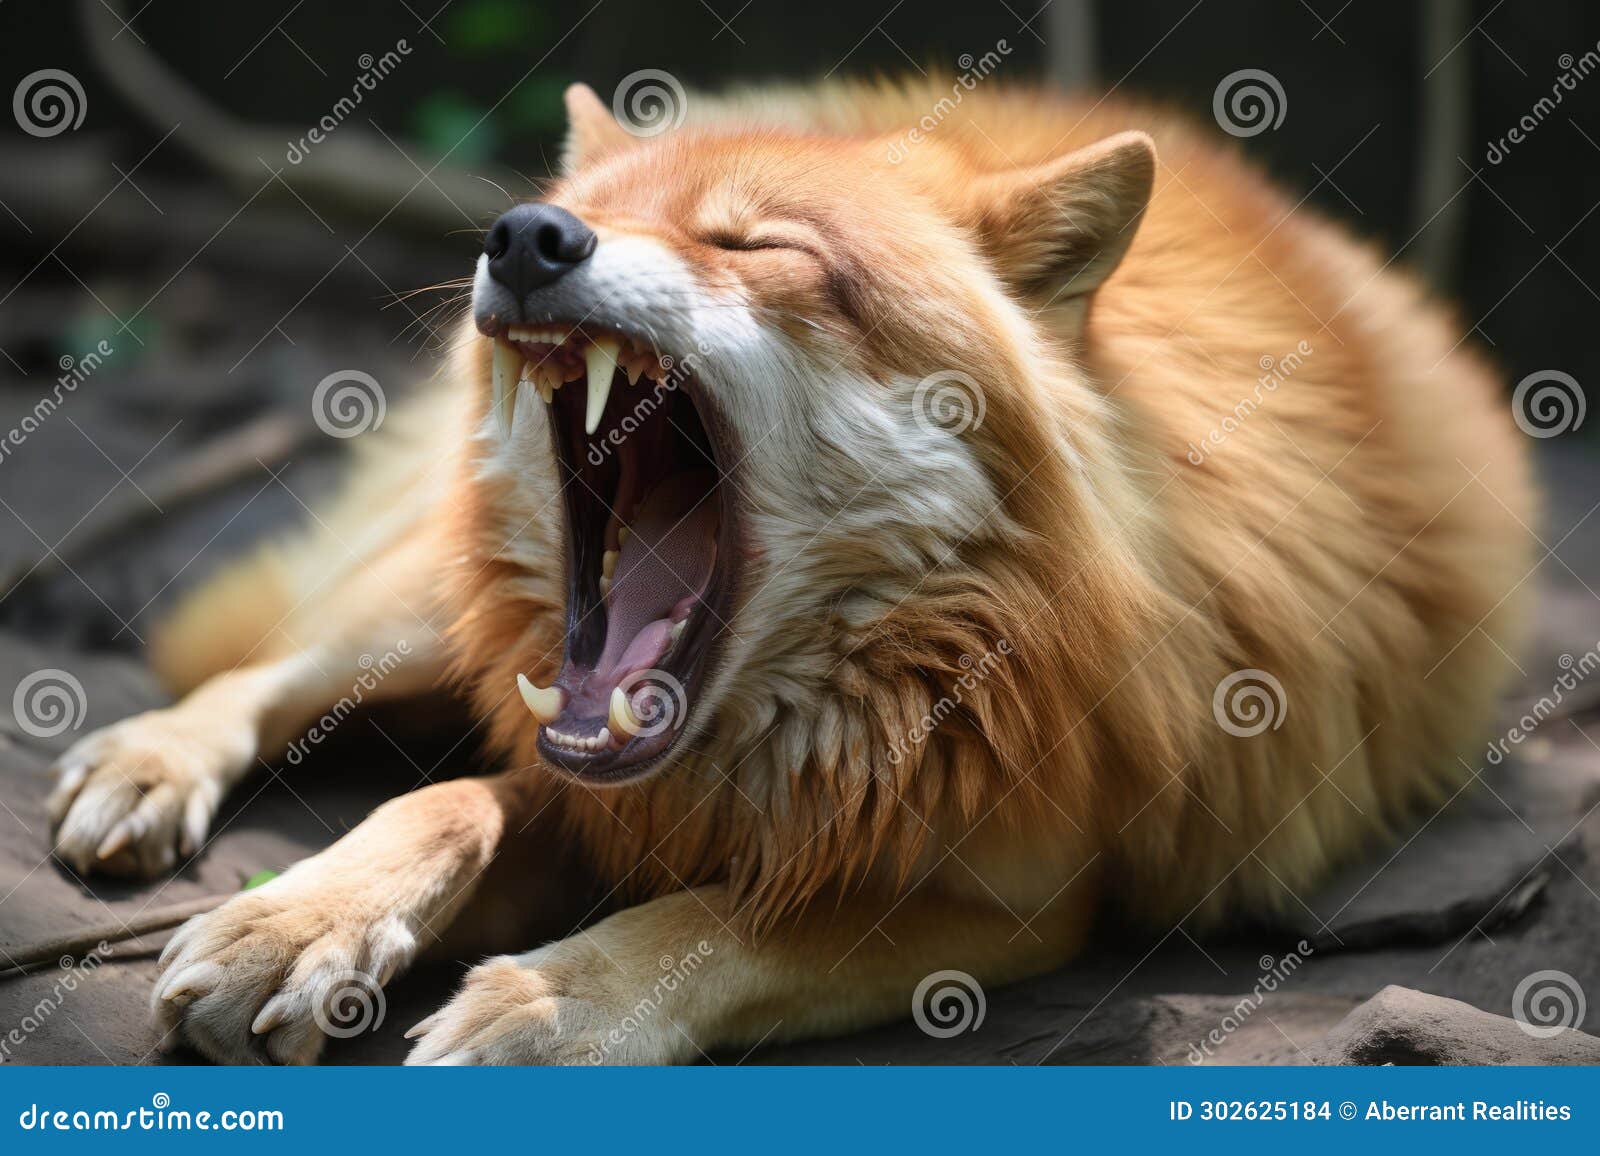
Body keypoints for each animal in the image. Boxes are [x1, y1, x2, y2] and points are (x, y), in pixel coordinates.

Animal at [45, 79, 1533, 1064]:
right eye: (576, 217)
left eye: (756, 246)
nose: (524, 235)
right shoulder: (600, 779)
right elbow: (444, 807)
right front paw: (292, 924)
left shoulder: (1024, 894)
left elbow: (721, 924)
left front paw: (554, 1003)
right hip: (425, 612)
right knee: (271, 670)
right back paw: (146, 764)